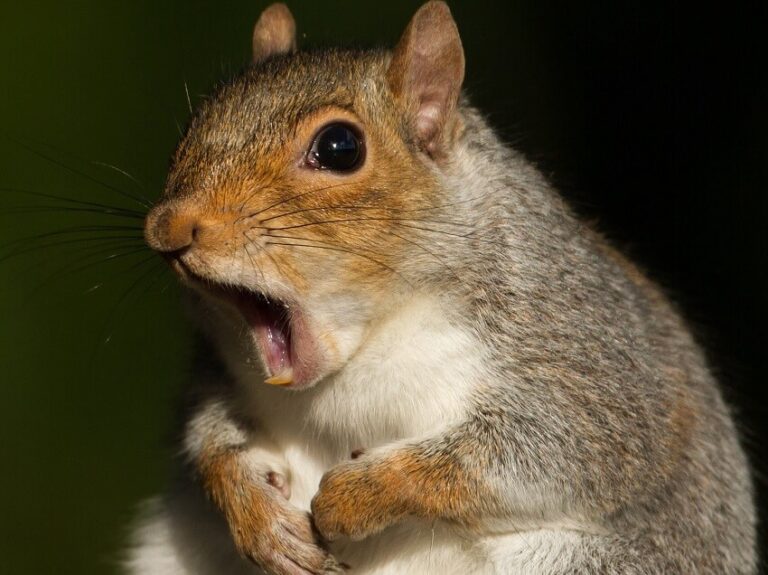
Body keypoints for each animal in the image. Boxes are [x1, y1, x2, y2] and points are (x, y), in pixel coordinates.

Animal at [128, 2, 756, 574]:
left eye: (339, 147)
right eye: (194, 124)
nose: (168, 228)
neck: (363, 347)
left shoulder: (582, 358)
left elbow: (544, 453)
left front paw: (356, 496)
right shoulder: (219, 371)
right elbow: (210, 436)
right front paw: (255, 513)